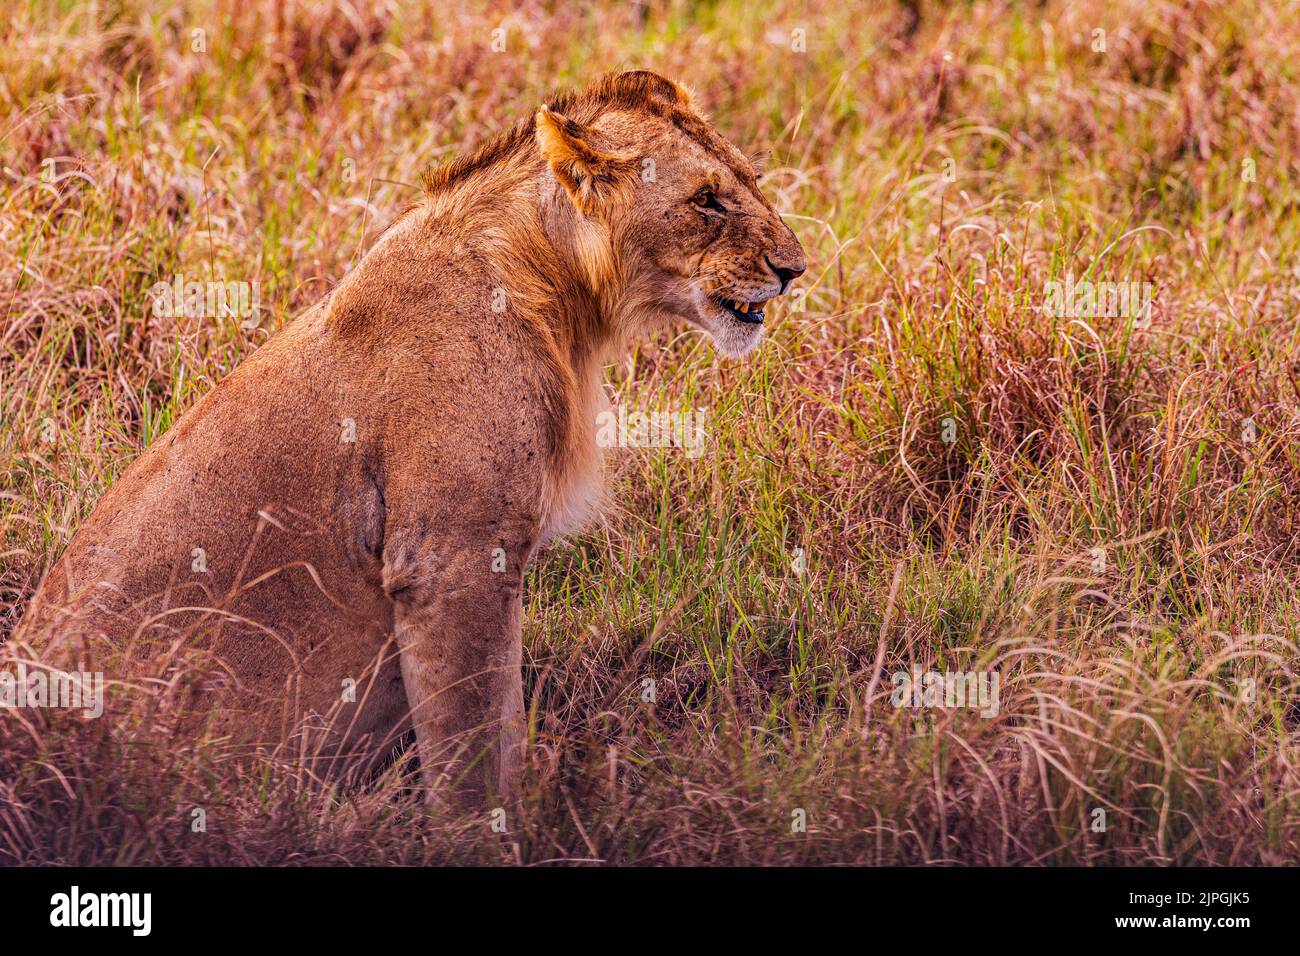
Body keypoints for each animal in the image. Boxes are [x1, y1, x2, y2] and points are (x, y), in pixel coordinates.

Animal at [16, 70, 807, 805]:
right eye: (707, 200)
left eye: (751, 180)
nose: (795, 270)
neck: (559, 298)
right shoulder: (450, 559)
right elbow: (477, 745)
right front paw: (490, 834)